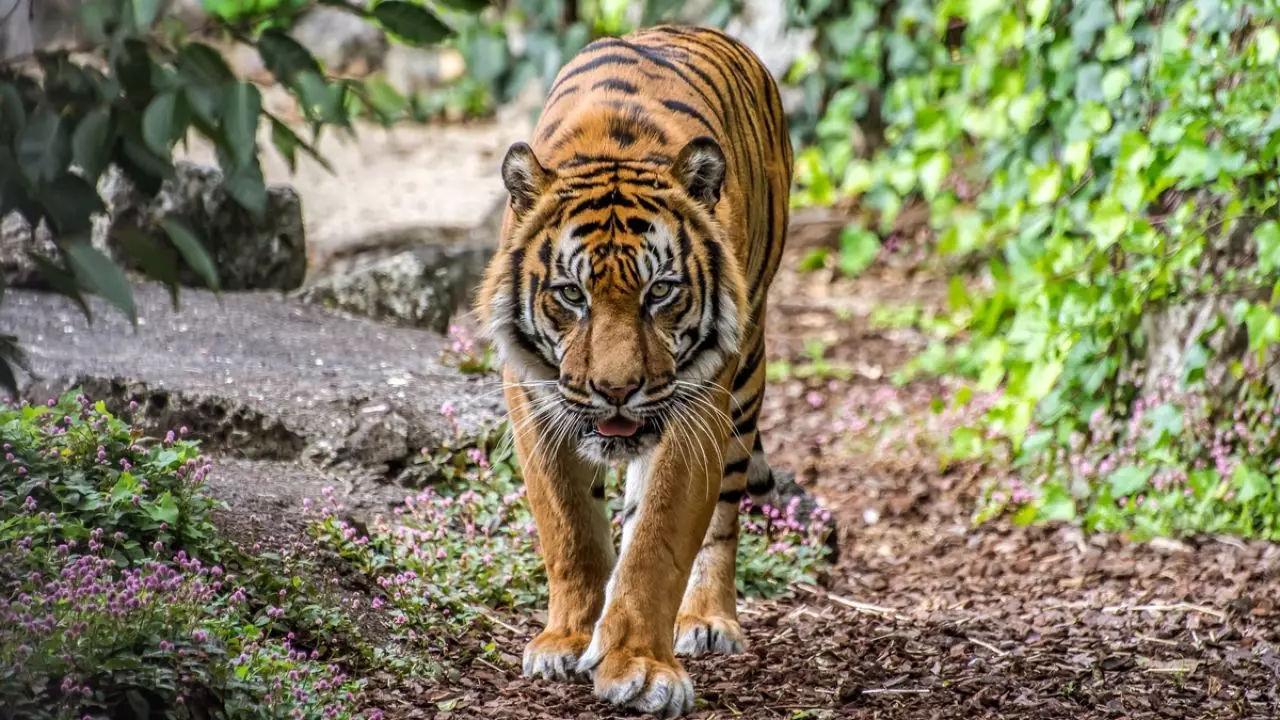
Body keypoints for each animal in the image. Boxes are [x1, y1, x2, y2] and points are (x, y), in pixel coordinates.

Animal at [476, 22, 793, 712]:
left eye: (661, 291)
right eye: (572, 295)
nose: (616, 391)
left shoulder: (700, 400)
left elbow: (660, 538)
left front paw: (640, 666)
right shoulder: (531, 390)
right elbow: (569, 528)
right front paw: (567, 640)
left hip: (746, 378)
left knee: (723, 516)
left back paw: (707, 618)